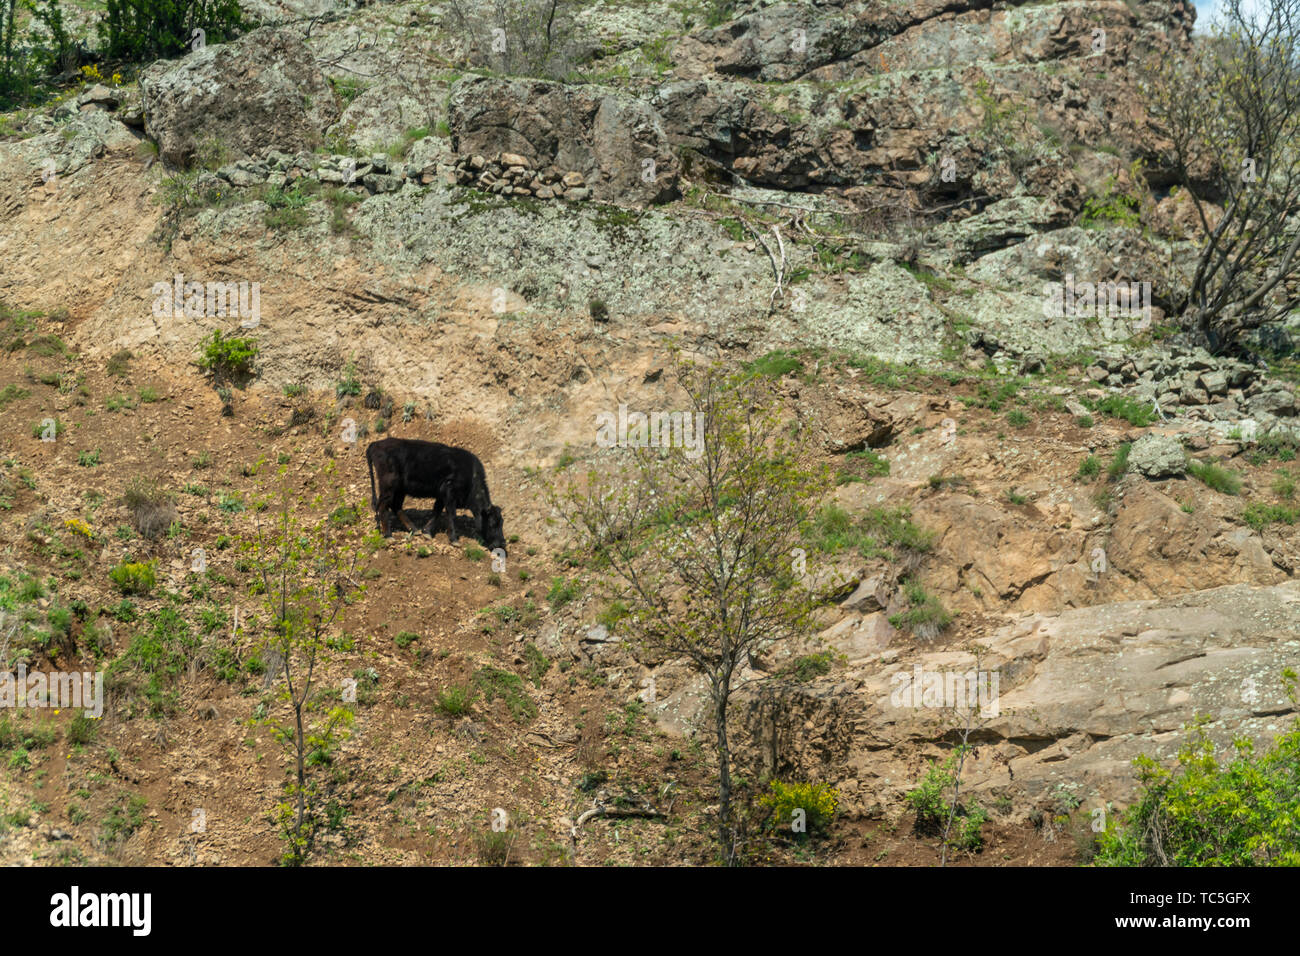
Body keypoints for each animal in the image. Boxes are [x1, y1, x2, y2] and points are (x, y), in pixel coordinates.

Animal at [365, 438, 507, 554]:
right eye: (492, 523)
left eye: (502, 523)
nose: (501, 543)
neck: (471, 477)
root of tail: (377, 443)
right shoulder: (450, 493)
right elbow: (451, 514)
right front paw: (454, 540)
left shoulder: (442, 495)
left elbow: (437, 511)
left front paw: (427, 532)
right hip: (389, 486)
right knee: (383, 506)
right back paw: (389, 535)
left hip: (400, 489)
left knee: (396, 507)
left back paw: (414, 529)